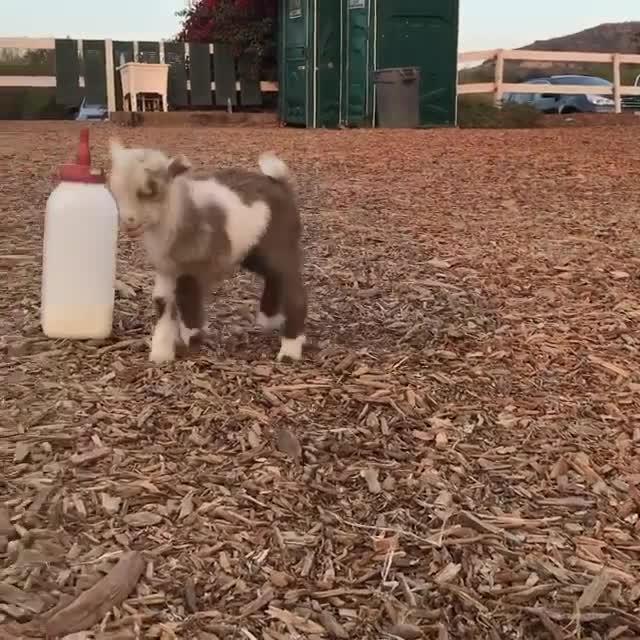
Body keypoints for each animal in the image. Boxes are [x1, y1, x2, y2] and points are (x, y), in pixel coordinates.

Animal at [107, 140, 307, 364]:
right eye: (115, 189)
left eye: (151, 190)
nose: (128, 221)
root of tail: (280, 184)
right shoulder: (167, 269)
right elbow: (162, 302)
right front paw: (161, 353)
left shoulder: (193, 265)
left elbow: (187, 298)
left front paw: (192, 340)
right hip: (255, 250)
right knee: (274, 276)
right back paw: (268, 319)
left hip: (280, 244)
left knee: (294, 289)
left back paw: (289, 350)